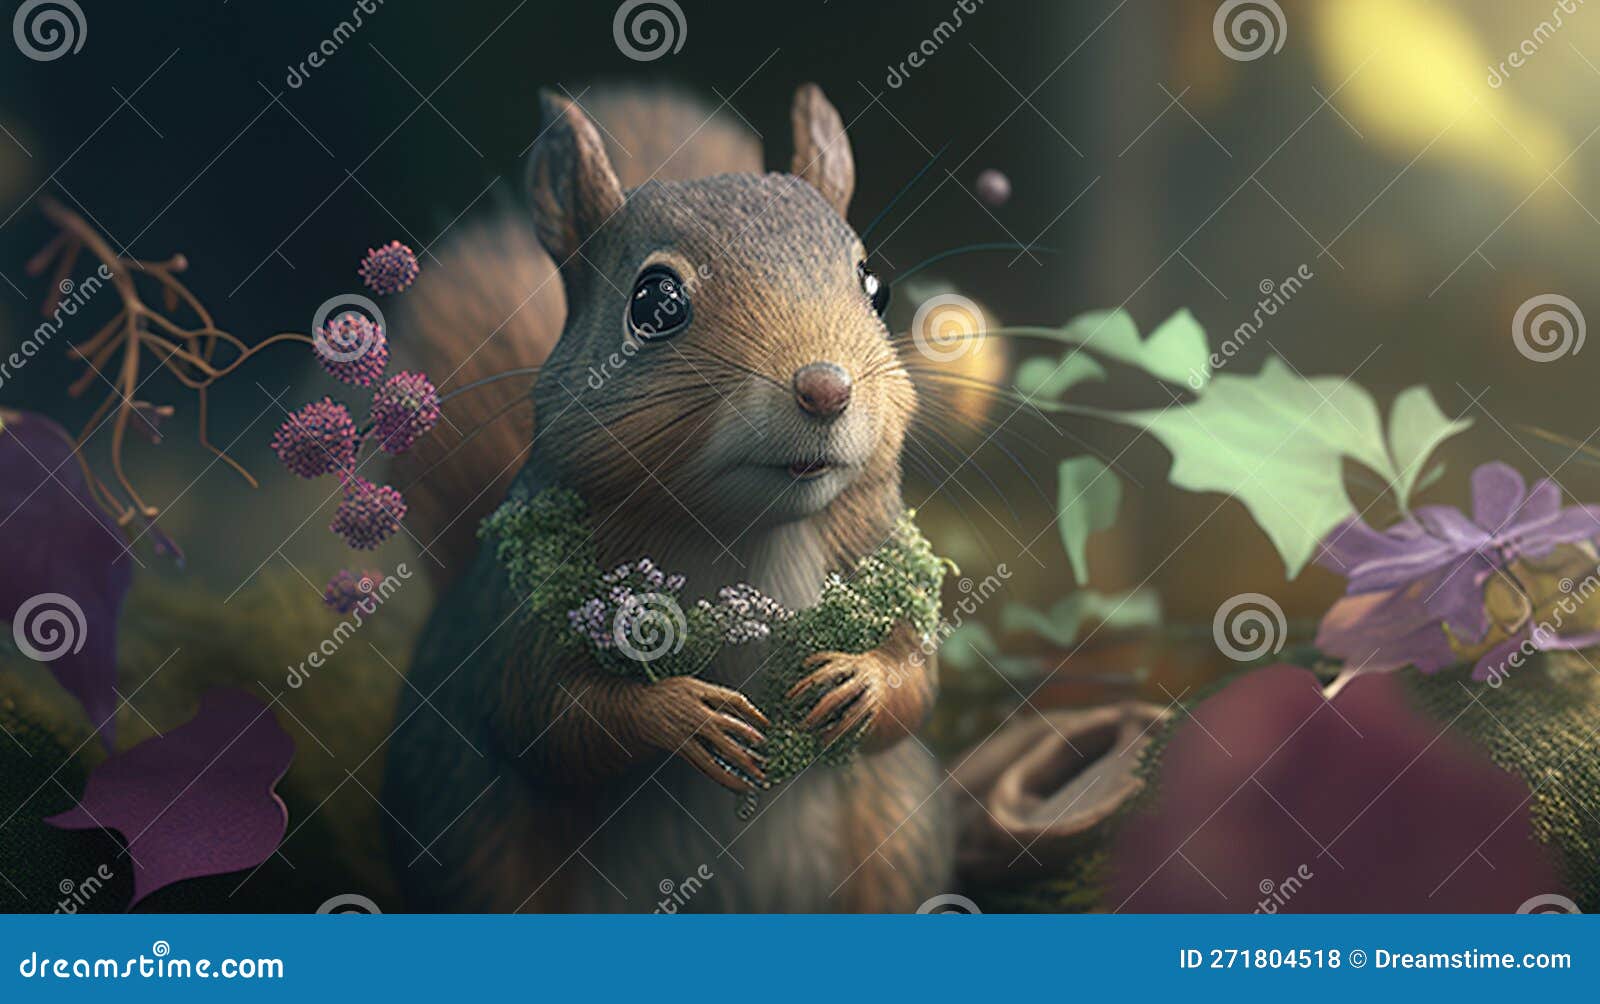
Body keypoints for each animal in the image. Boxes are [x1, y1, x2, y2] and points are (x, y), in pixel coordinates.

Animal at [383, 83, 953, 912]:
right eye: (654, 301)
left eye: (874, 288)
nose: (826, 386)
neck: (747, 529)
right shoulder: (523, 607)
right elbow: (542, 713)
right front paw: (682, 712)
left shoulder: (874, 554)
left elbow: (918, 680)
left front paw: (862, 680)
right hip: (485, 854)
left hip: (895, 835)